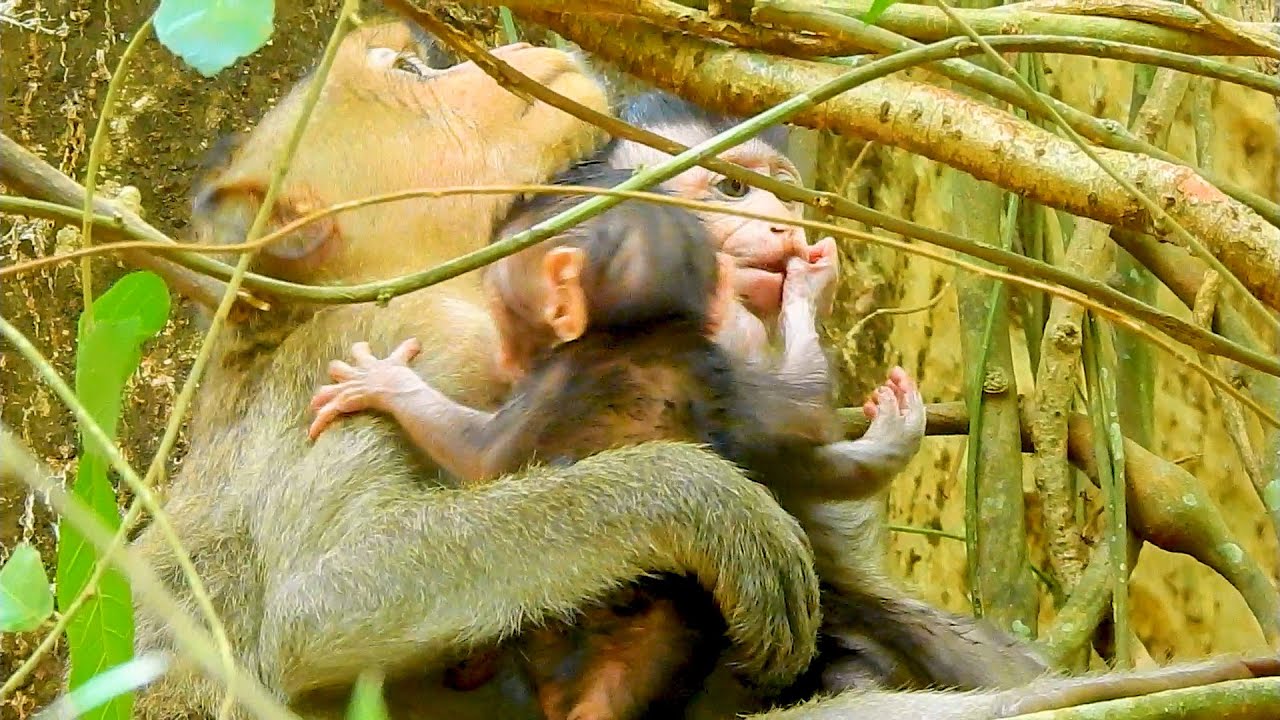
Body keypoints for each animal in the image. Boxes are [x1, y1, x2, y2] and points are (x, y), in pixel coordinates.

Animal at [306, 165, 924, 720]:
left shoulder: (557, 379)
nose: (501, 353)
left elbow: (479, 454)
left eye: (503, 309)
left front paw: (388, 384)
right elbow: (812, 434)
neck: (644, 332)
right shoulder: (731, 375)